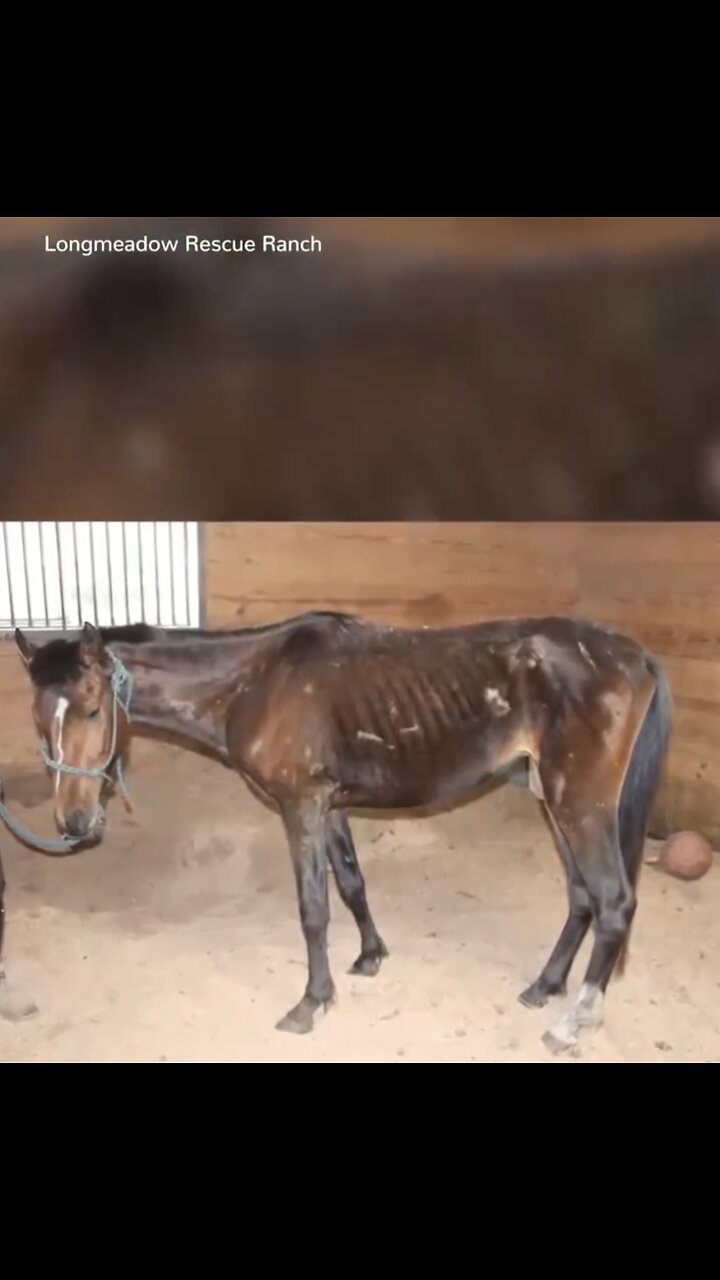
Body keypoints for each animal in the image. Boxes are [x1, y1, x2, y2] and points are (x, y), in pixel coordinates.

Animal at [13, 610, 672, 1054]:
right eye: (39, 718)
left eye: (93, 708)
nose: (73, 821)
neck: (258, 679)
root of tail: (635, 656)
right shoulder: (329, 807)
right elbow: (351, 883)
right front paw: (370, 956)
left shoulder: (301, 806)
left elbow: (313, 907)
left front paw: (311, 1002)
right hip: (550, 798)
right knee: (583, 897)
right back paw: (545, 985)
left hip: (580, 803)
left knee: (613, 902)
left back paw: (571, 1022)